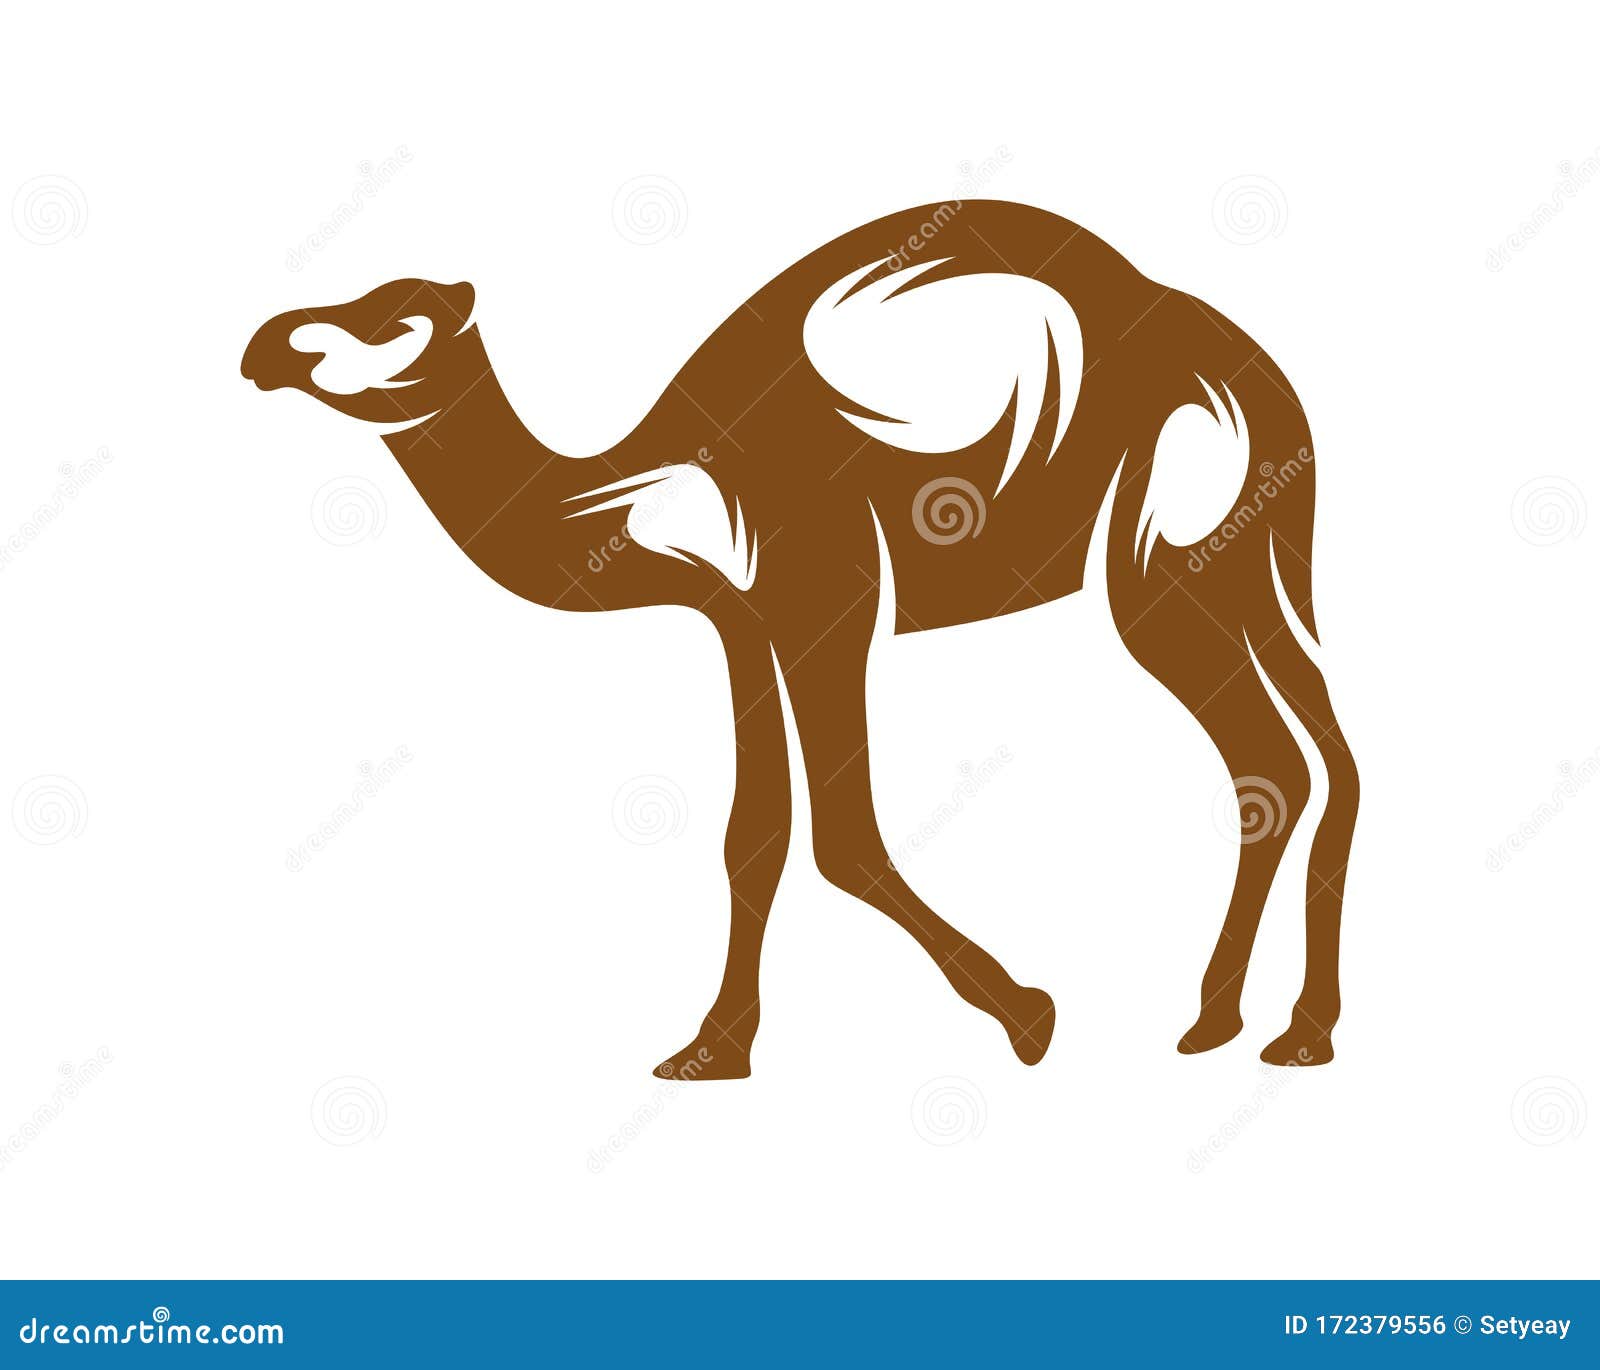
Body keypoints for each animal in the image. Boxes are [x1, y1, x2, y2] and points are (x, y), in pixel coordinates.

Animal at [241, 199, 1358, 1078]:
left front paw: (1028, 1018)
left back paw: (1267, 1029)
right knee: (1312, 762)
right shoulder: (741, 621)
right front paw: (712, 1048)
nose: (266, 346)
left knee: (1272, 761)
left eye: (395, 317)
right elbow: (755, 834)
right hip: (1244, 552)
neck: (647, 487)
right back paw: (1250, 1025)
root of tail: (1257, 372)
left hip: (1167, 548)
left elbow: (844, 836)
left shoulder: (825, 589)